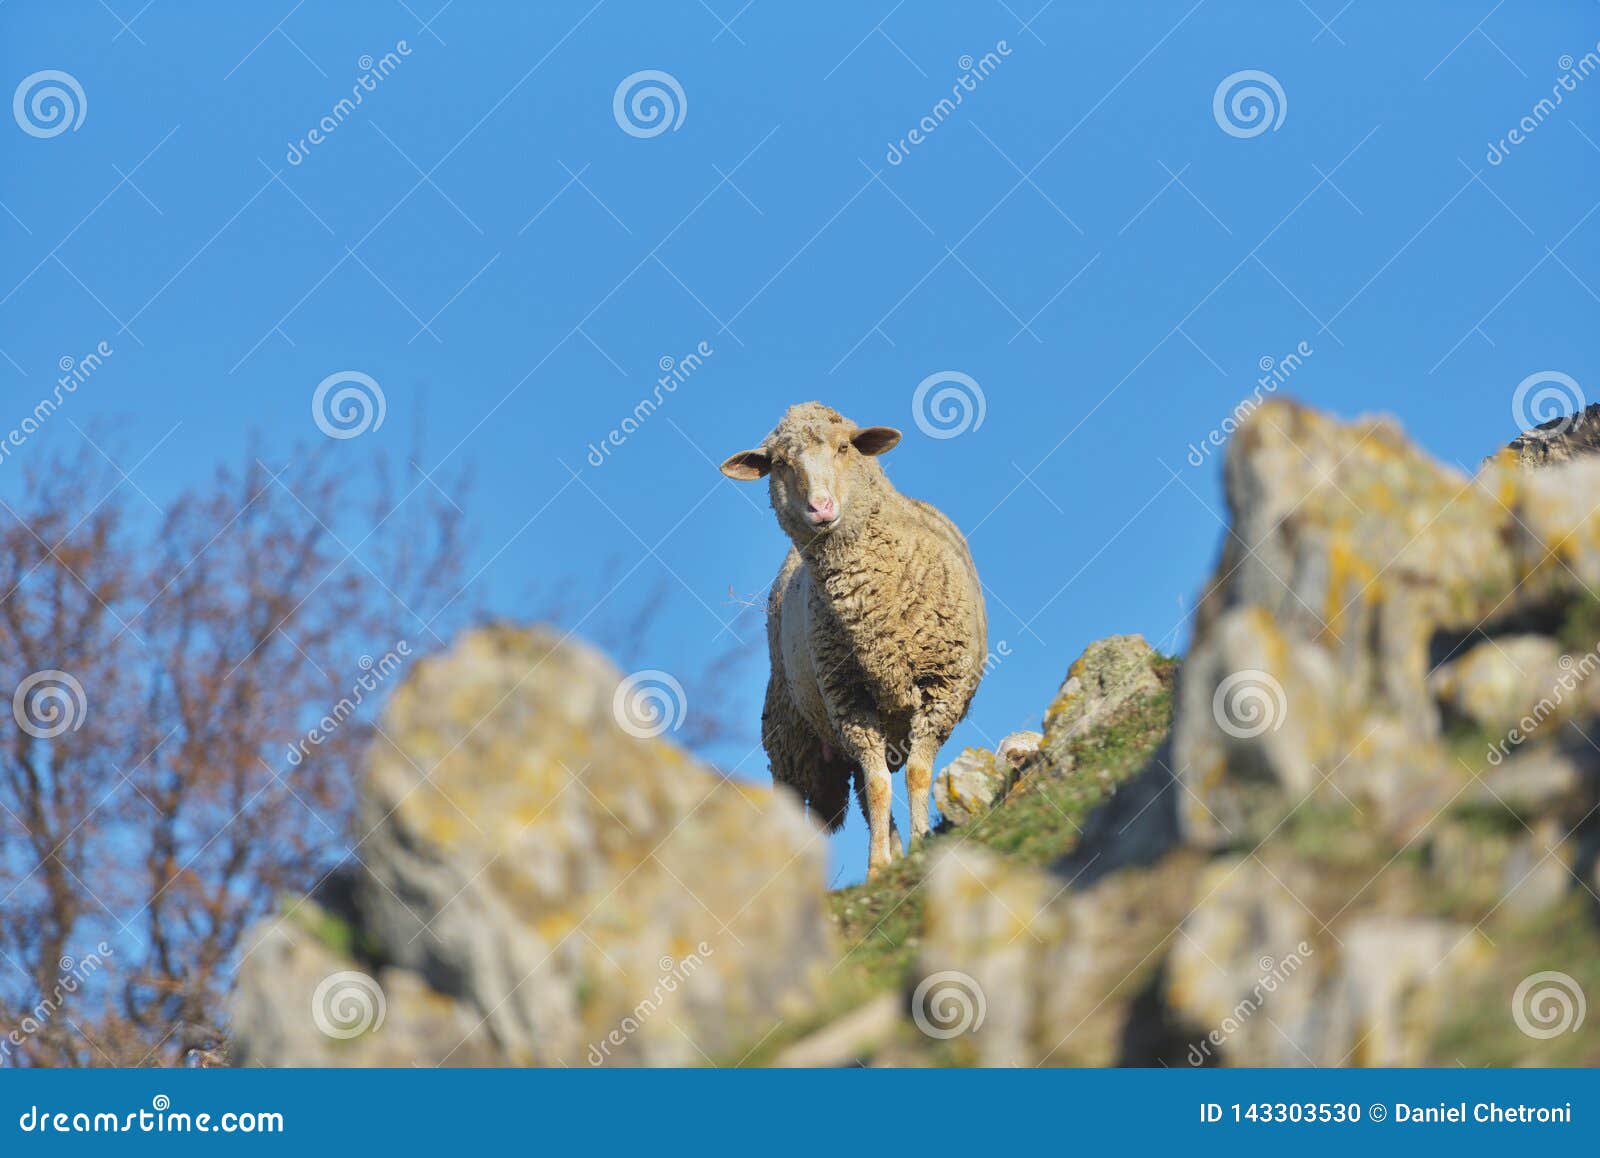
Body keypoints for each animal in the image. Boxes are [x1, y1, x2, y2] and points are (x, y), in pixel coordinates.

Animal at [720, 402, 987, 878]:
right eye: (780, 463)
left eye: (845, 447)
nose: (820, 508)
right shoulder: (849, 701)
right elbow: (879, 784)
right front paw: (878, 865)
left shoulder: (941, 688)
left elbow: (916, 773)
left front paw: (919, 842)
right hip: (791, 735)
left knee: (864, 786)